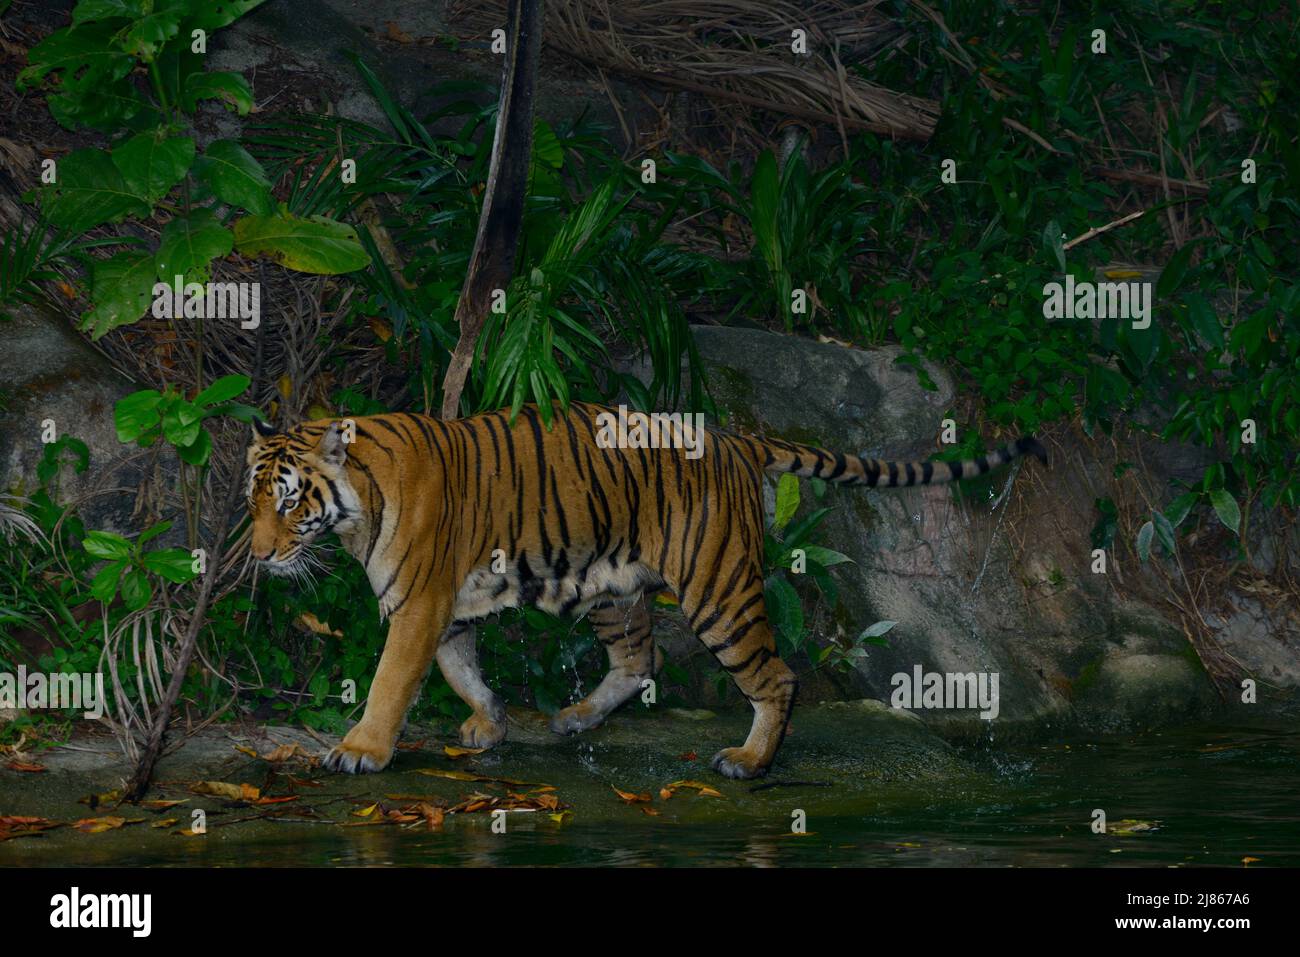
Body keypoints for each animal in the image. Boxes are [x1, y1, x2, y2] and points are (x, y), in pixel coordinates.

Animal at [245, 401, 1047, 779]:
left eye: (287, 502)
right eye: (251, 499)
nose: (255, 555)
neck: (355, 507)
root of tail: (735, 439)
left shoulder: (419, 603)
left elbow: (392, 680)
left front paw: (361, 749)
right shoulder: (445, 608)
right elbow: (459, 668)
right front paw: (490, 722)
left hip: (718, 589)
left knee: (775, 677)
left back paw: (751, 760)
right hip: (609, 585)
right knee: (640, 660)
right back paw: (573, 719)